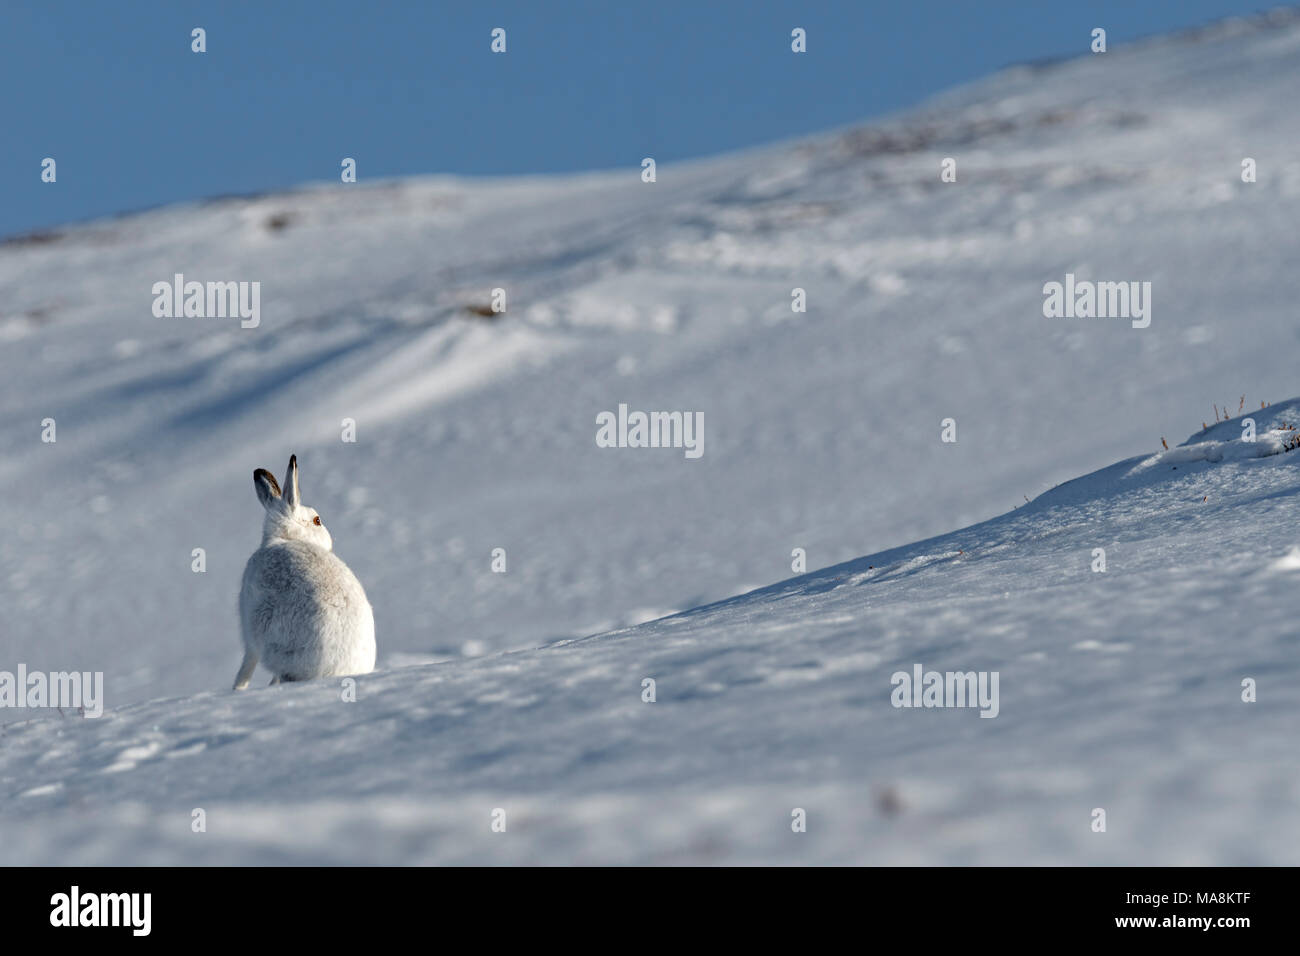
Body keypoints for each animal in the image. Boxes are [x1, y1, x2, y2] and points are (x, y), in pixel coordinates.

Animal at [234, 454, 376, 689]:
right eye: (317, 521)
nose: (329, 541)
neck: (285, 537)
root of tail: (335, 670)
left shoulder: (249, 629)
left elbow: (247, 665)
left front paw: (237, 689)